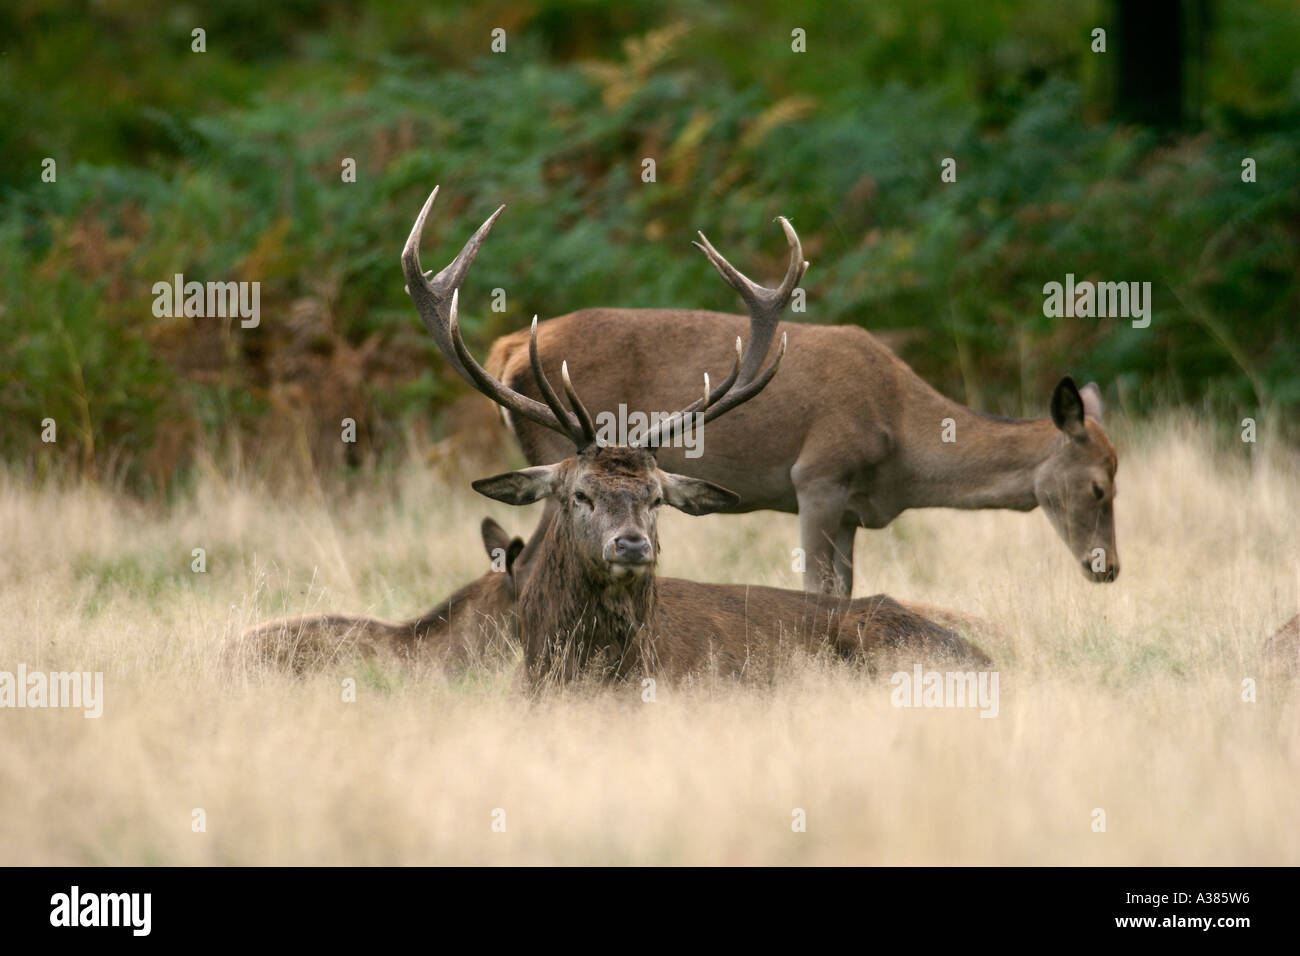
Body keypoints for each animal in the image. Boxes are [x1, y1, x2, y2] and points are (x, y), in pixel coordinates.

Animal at [479, 211, 1120, 595]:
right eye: (1098, 488)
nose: (1109, 568)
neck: (905, 442)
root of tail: (506, 350)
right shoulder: (818, 476)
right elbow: (816, 589)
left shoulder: (855, 510)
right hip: (557, 453)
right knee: (522, 559)